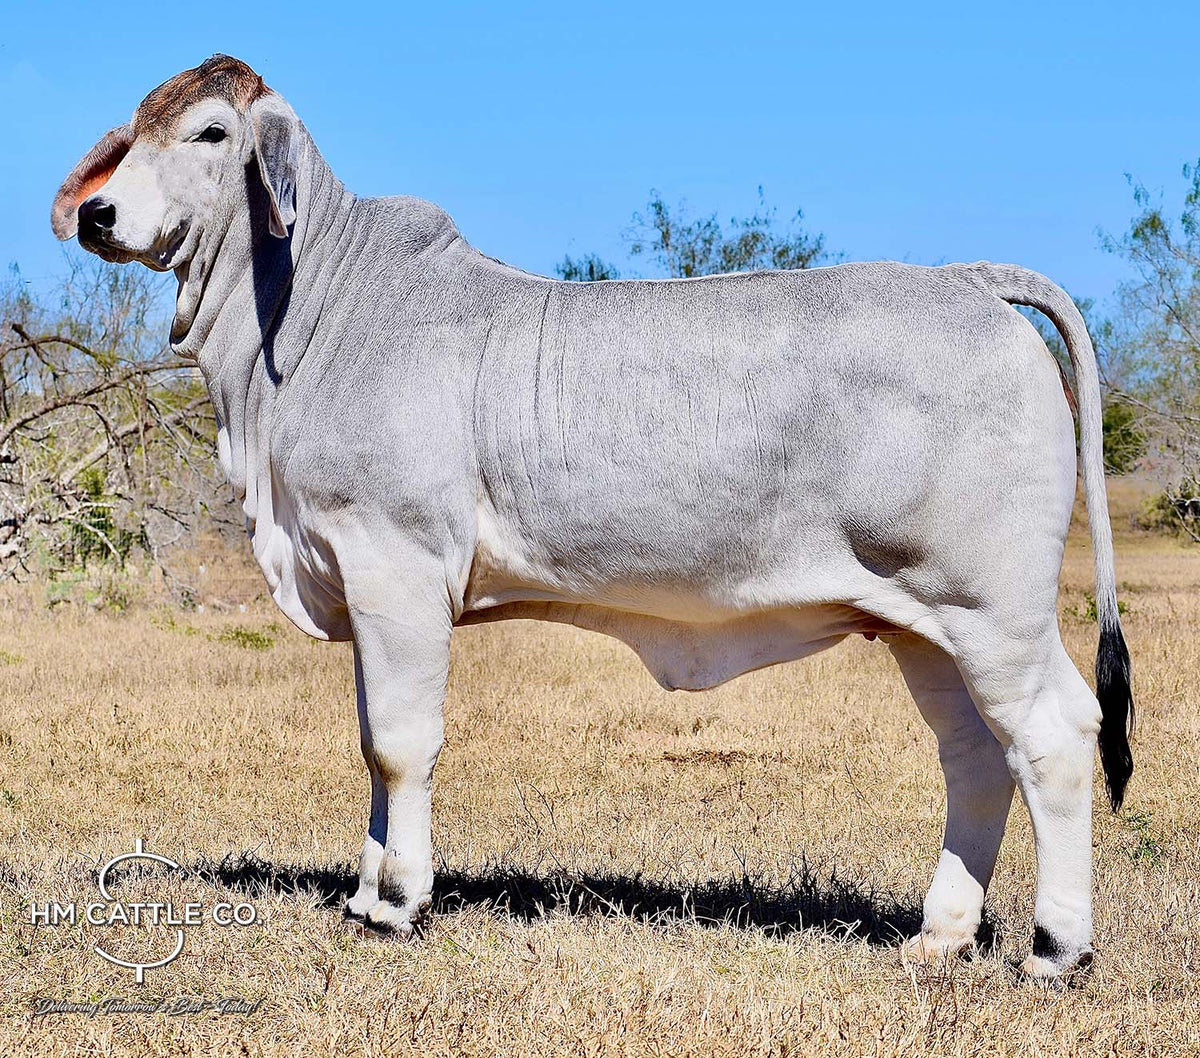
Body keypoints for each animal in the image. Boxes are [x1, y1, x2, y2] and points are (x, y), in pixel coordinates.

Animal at [51, 55, 1133, 982]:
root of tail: (966, 281)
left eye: (209, 131)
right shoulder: (360, 584)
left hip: (991, 606)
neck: (315, 315)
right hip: (924, 624)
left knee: (1056, 734)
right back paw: (939, 935)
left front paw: (399, 900)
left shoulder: (395, 562)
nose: (98, 213)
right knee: (975, 755)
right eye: (132, 133)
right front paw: (362, 893)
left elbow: (401, 739)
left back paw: (1055, 947)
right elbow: (367, 742)